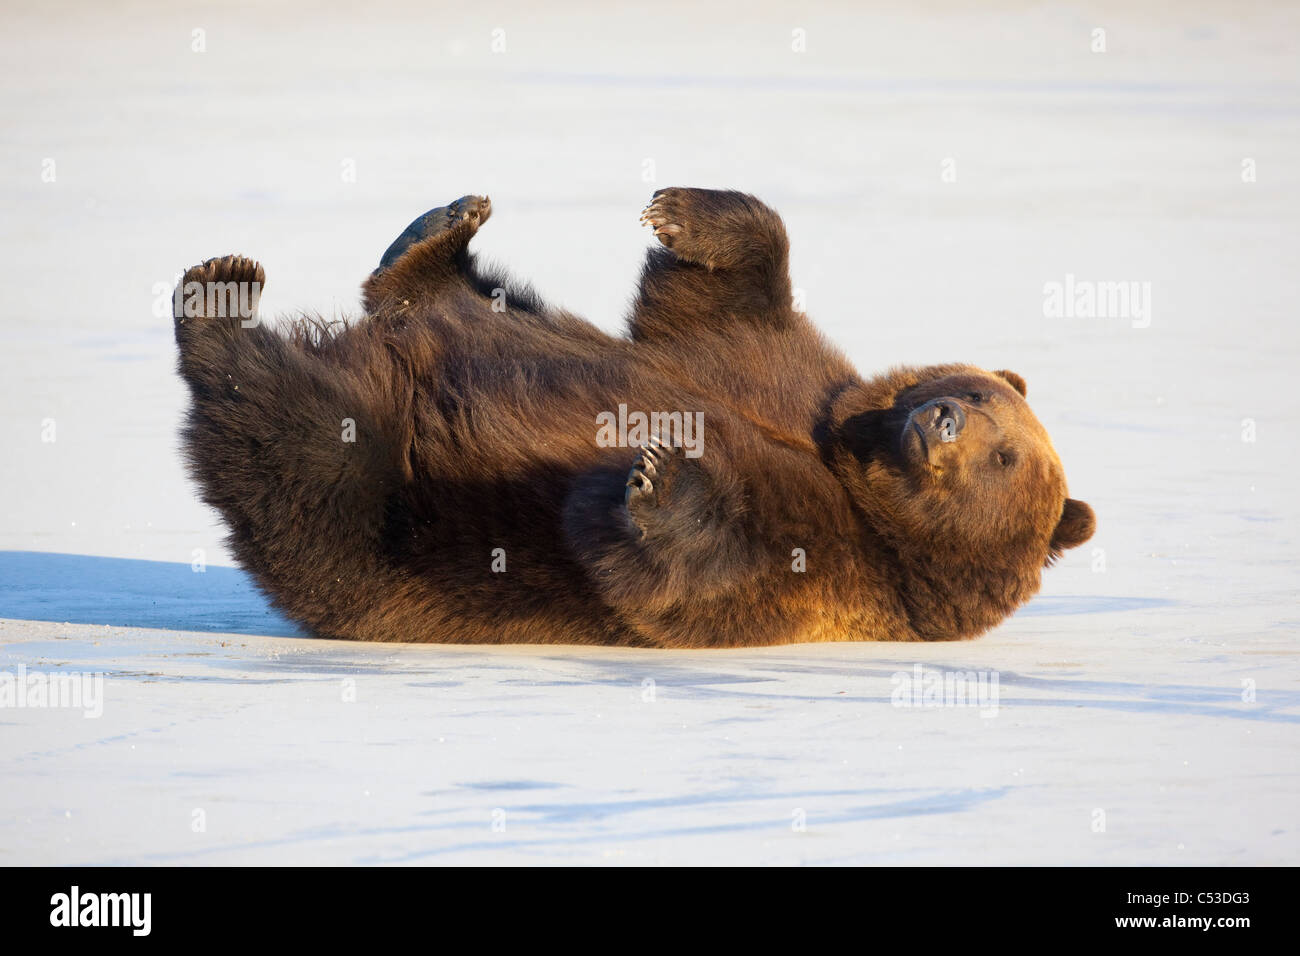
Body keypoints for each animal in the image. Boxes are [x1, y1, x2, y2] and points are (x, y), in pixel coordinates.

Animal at [173, 187, 1094, 647]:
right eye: (983, 397)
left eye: (1008, 460)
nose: (941, 418)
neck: (853, 473)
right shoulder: (783, 380)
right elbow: (718, 309)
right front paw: (685, 210)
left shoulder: (832, 568)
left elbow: (686, 572)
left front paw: (662, 470)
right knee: (456, 301)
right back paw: (433, 230)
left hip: (396, 517)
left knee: (300, 446)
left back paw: (222, 308)